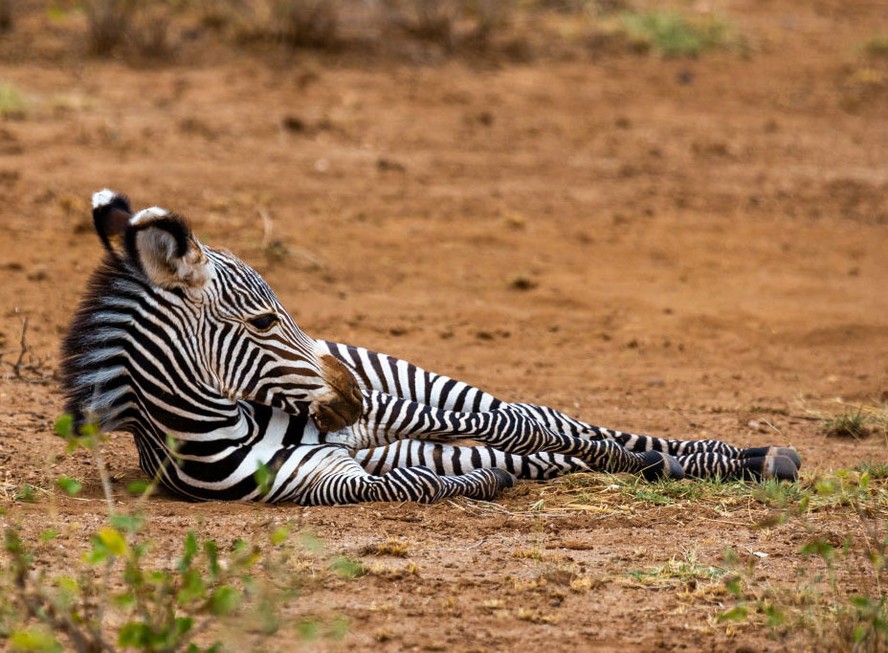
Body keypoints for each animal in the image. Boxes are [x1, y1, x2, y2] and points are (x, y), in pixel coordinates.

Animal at [60, 190, 801, 505]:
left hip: (417, 389)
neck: (220, 428)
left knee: (548, 420)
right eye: (264, 322)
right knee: (545, 446)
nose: (350, 393)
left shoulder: (380, 422)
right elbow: (414, 481)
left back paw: (738, 456)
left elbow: (521, 426)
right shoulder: (335, 477)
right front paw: (477, 482)